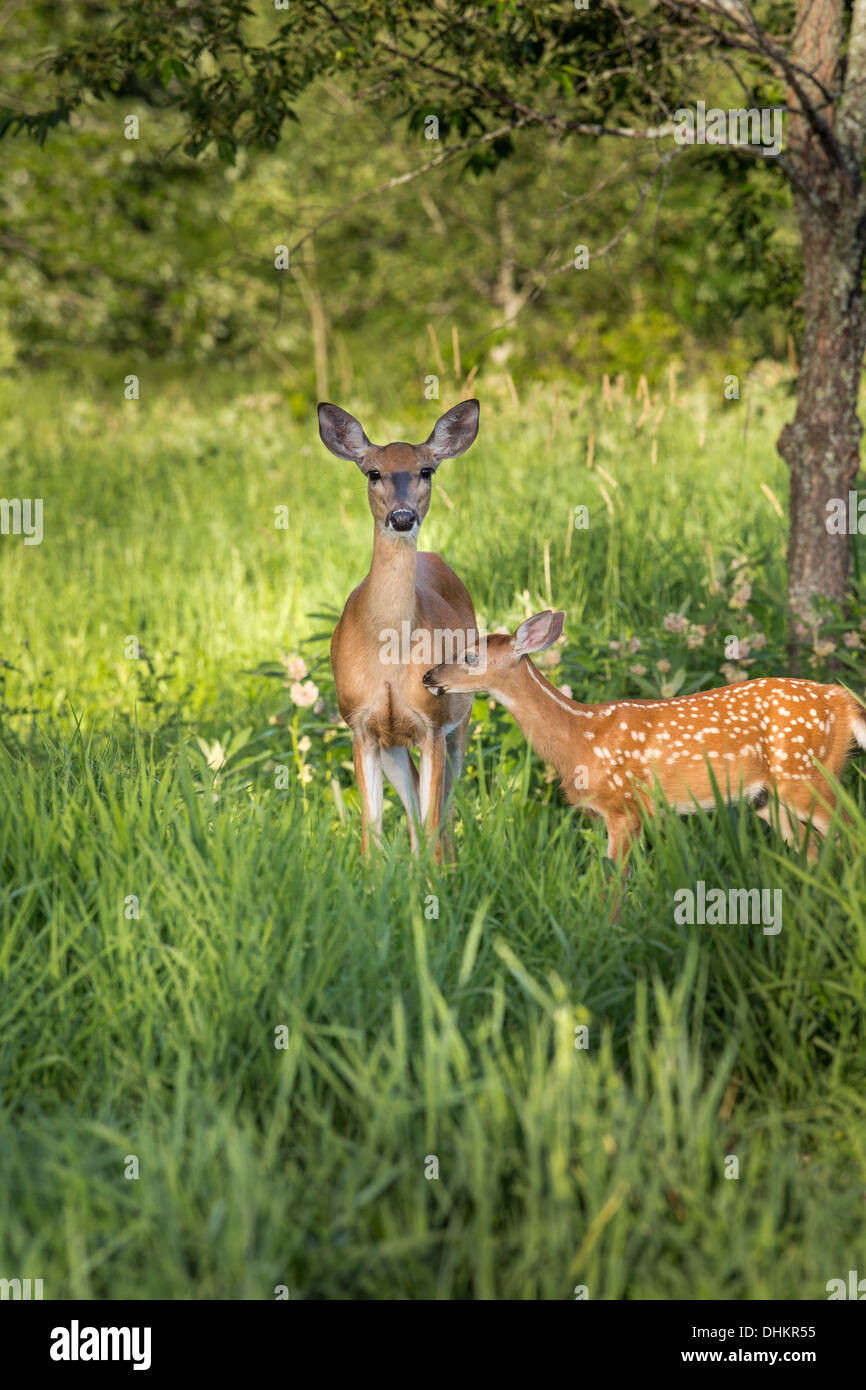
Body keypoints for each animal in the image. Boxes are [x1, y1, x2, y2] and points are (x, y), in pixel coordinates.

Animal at [319, 399, 480, 859]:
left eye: (427, 470)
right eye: (373, 472)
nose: (403, 516)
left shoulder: (432, 724)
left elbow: (433, 821)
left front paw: (434, 876)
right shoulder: (361, 724)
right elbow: (370, 831)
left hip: (460, 721)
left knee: (445, 810)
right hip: (395, 744)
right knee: (411, 805)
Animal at [422, 608, 866, 881]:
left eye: (470, 655)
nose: (429, 677)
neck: (581, 736)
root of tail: (841, 699)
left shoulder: (625, 807)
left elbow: (614, 884)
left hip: (805, 773)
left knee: (850, 832)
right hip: (768, 799)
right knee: (816, 850)